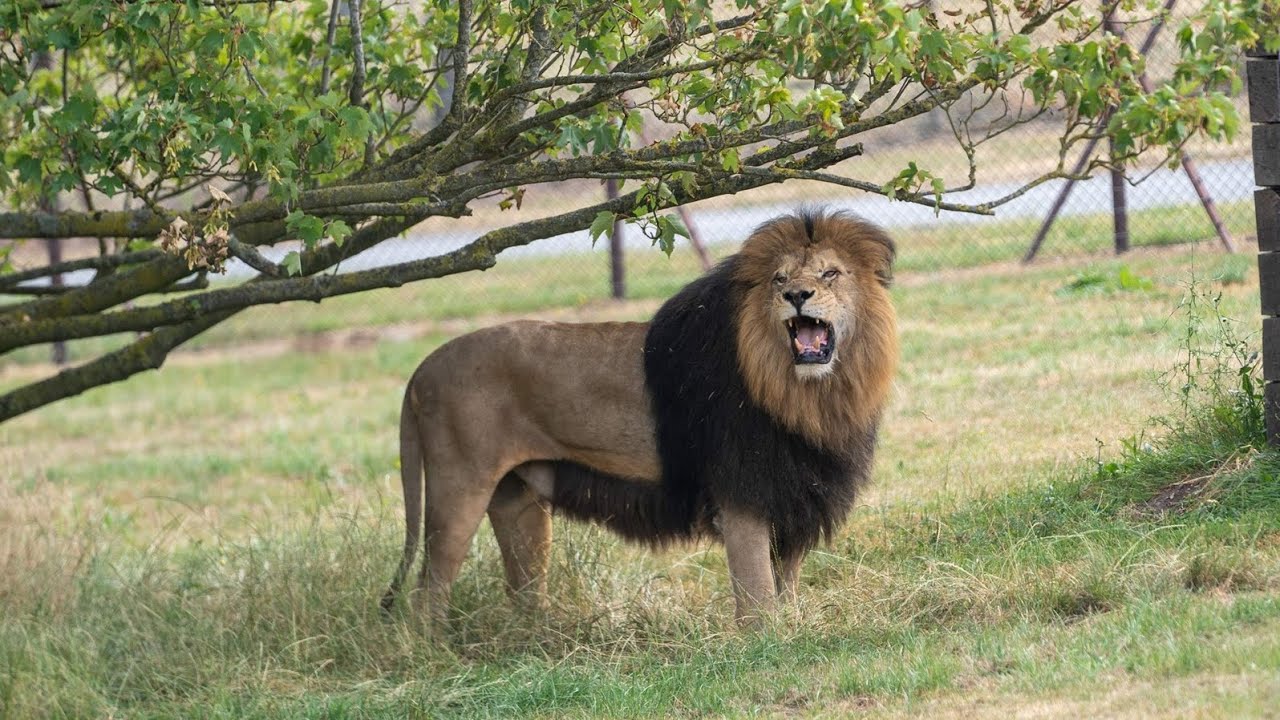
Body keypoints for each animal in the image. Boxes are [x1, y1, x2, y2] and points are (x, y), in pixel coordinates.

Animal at [381, 208, 898, 625]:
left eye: (831, 273)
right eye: (778, 279)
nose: (797, 295)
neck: (807, 394)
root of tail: (422, 369)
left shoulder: (795, 493)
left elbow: (785, 583)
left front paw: (795, 630)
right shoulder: (742, 494)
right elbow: (757, 593)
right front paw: (768, 644)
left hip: (519, 503)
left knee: (523, 592)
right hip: (458, 488)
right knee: (428, 595)